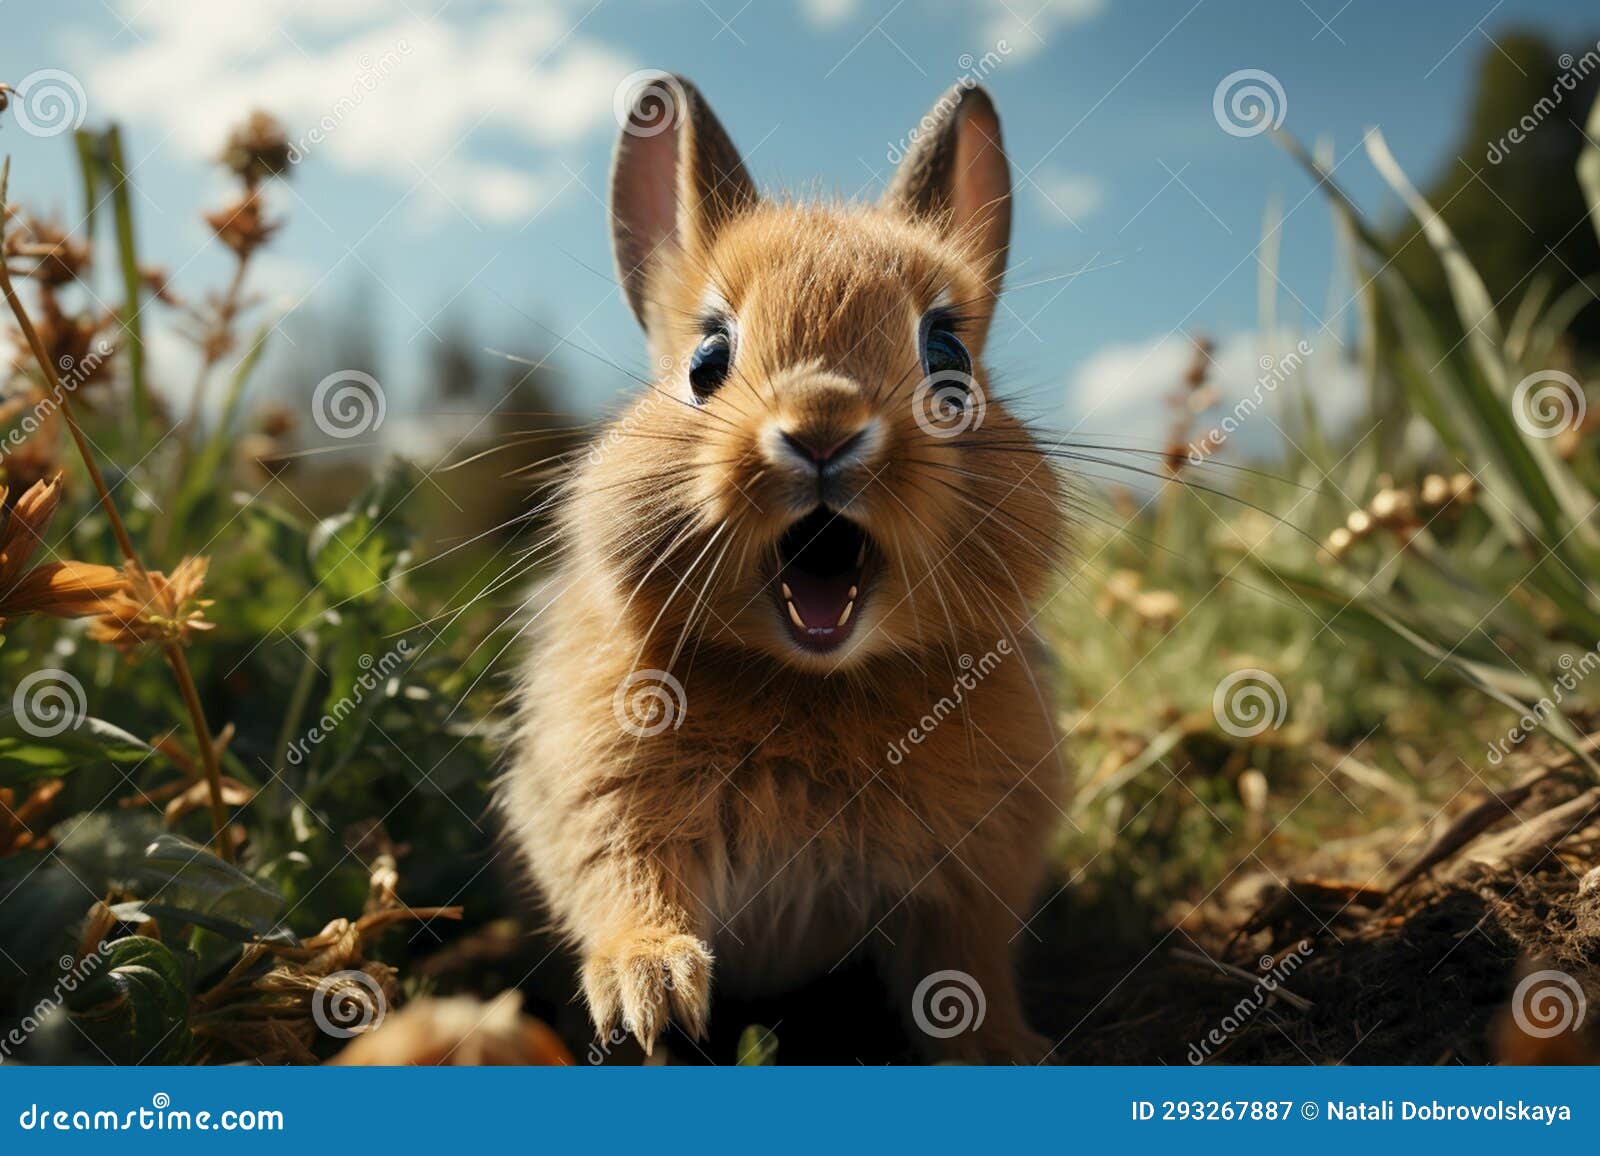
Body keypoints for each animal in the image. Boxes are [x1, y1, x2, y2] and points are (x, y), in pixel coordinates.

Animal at [498, 74, 1068, 1064]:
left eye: (948, 357)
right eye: (707, 361)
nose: (823, 428)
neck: (808, 678)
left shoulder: (975, 875)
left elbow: (966, 973)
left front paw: (1007, 1051)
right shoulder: (603, 798)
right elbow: (626, 886)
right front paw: (651, 994)